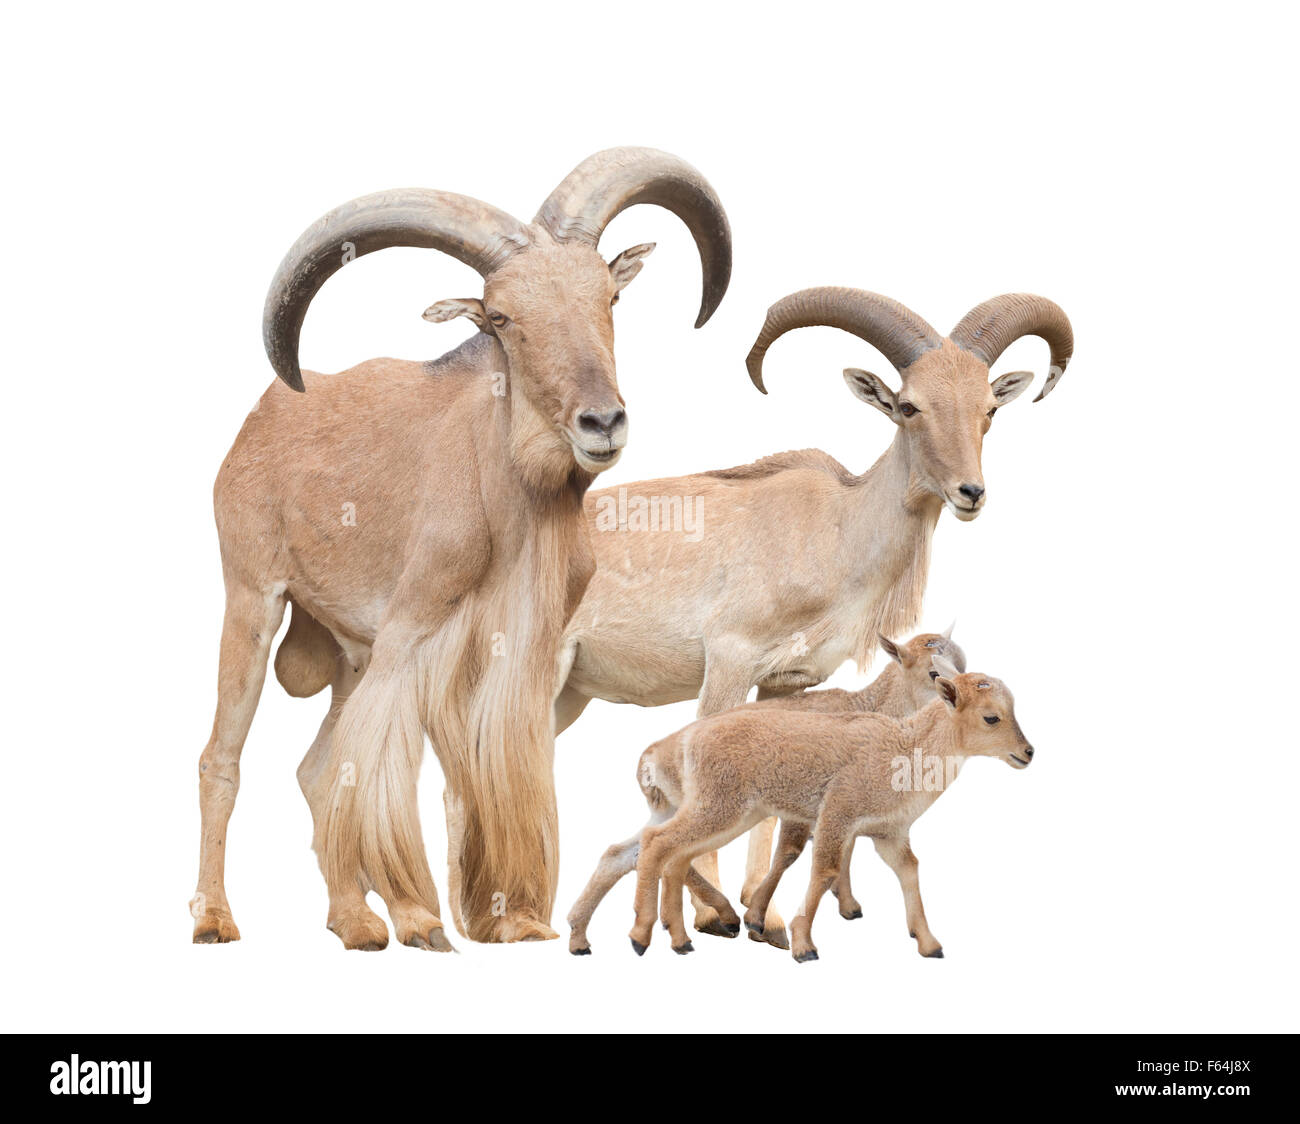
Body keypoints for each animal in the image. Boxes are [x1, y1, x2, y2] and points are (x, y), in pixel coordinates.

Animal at [191, 148, 732, 950]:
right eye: (502, 317)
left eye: (609, 296)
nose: (602, 422)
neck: (507, 511)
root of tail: (263, 414)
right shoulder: (411, 638)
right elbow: (387, 771)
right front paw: (423, 918)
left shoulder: (519, 659)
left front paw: (512, 920)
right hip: (253, 597)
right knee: (224, 761)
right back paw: (216, 918)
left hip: (348, 649)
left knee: (317, 769)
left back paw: (355, 921)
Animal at [565, 626, 965, 955]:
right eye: (933, 671)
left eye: (962, 663)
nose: (953, 701)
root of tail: (651, 757)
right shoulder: (808, 803)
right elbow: (791, 852)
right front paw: (760, 920)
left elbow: (843, 847)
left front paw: (848, 905)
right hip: (708, 806)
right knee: (665, 850)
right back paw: (718, 918)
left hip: (671, 807)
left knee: (625, 853)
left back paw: (581, 934)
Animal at [626, 655, 1034, 961]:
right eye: (991, 717)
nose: (1028, 752)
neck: (904, 751)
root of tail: (686, 740)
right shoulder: (837, 812)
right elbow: (823, 870)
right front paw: (804, 944)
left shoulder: (889, 832)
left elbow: (909, 869)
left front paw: (929, 943)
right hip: (719, 806)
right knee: (656, 842)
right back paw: (642, 936)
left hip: (731, 812)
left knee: (675, 854)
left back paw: (682, 938)